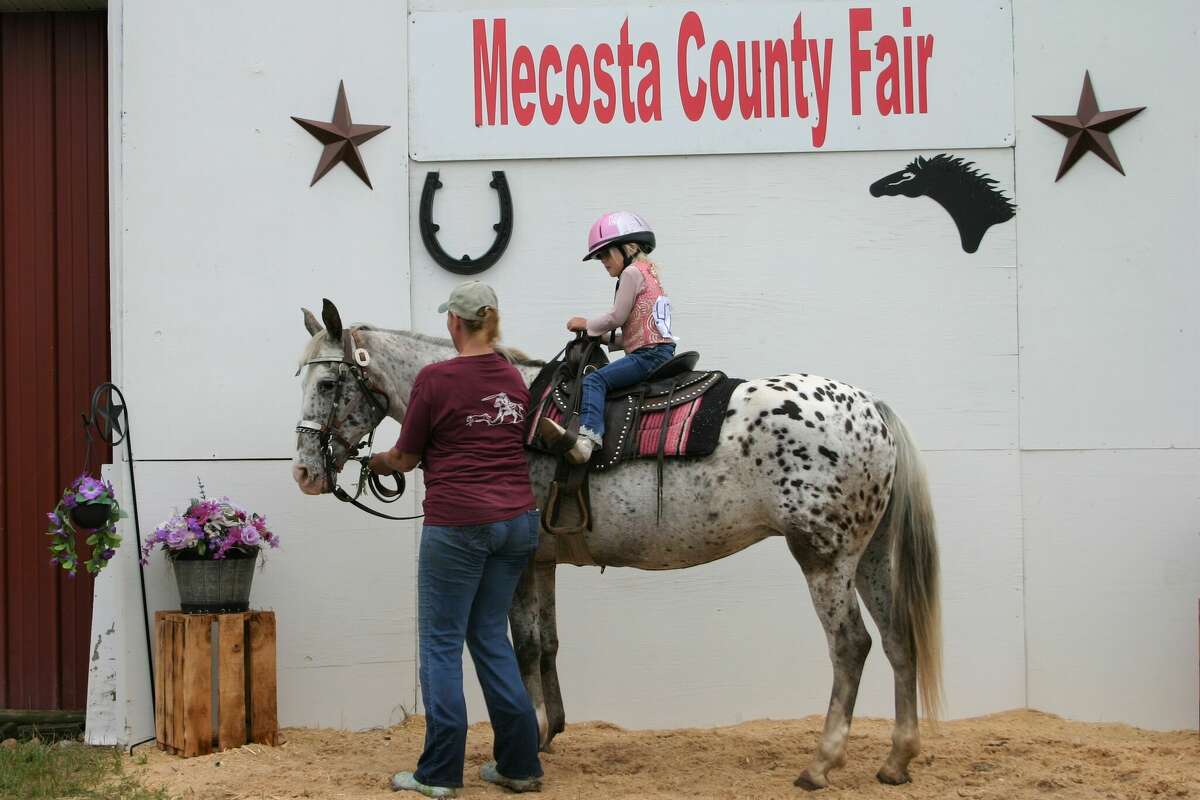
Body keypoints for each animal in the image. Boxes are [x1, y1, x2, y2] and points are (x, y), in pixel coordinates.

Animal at [291, 300, 942, 790]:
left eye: (329, 381)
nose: (304, 472)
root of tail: (872, 410)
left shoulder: (520, 562)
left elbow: (525, 646)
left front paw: (526, 740)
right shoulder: (544, 560)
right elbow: (547, 644)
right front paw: (549, 731)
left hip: (824, 557)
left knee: (851, 646)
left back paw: (820, 764)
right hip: (869, 558)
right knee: (897, 639)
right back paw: (896, 759)